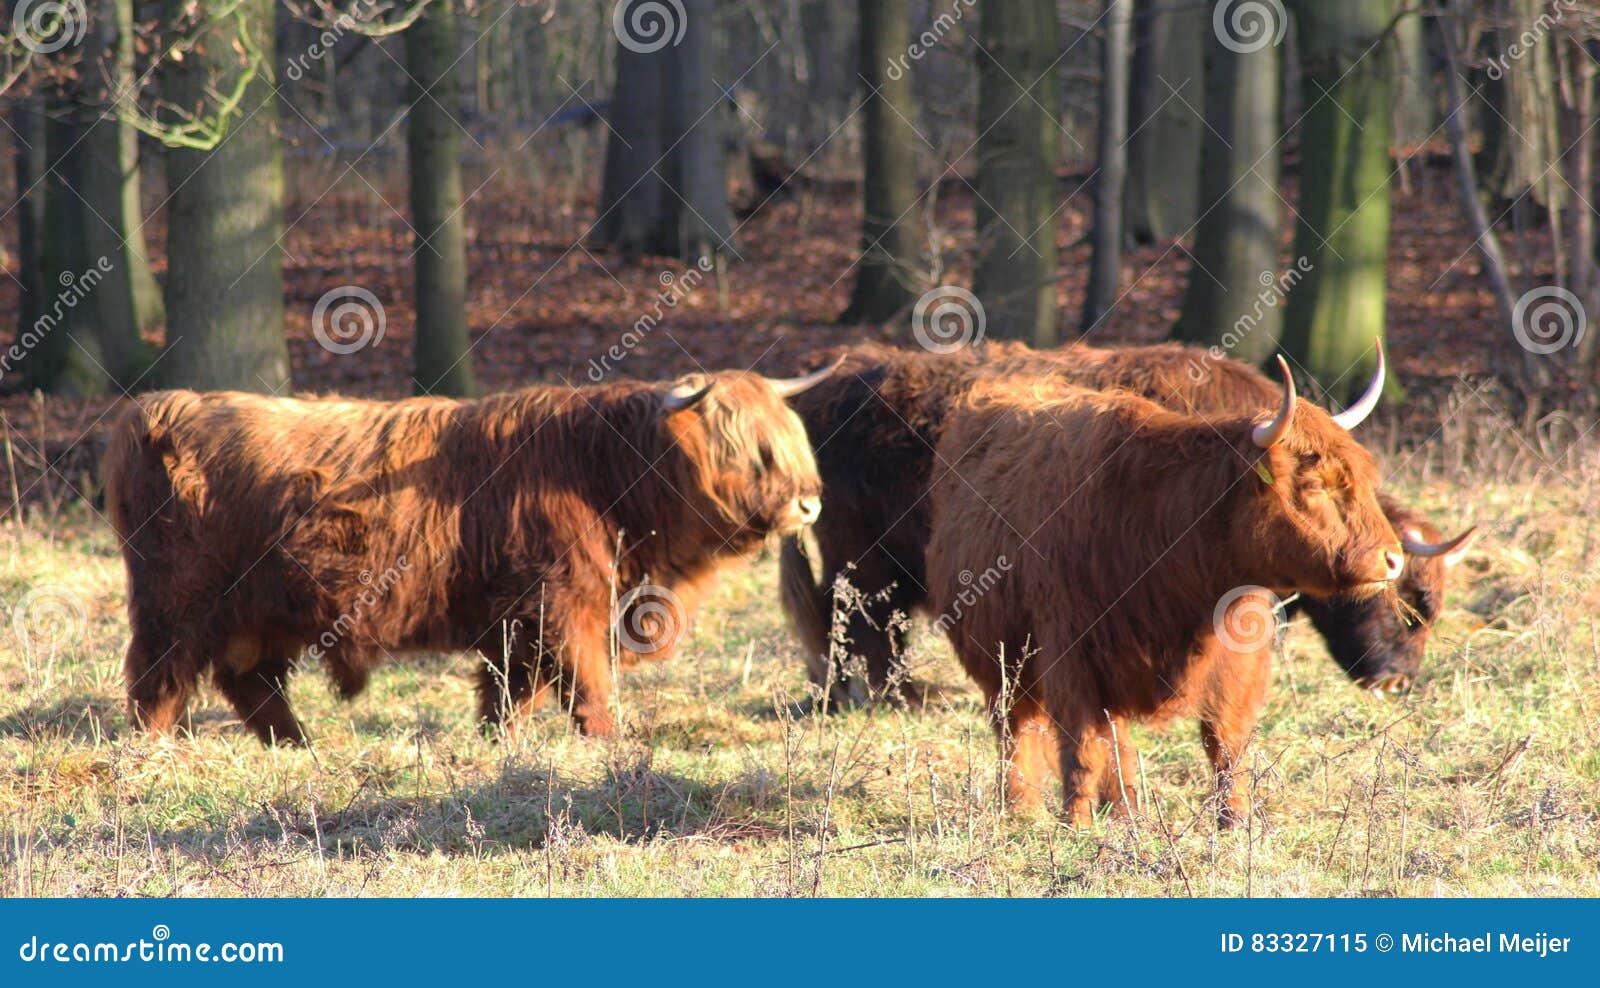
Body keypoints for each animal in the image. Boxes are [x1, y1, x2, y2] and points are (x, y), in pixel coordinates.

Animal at [103, 367, 834, 745]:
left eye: (791, 439)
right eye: (749, 450)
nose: (808, 503)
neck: (600, 470)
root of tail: (163, 407)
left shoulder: (520, 618)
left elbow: (513, 690)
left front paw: (496, 742)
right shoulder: (567, 599)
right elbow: (586, 679)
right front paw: (608, 742)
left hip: (263, 611)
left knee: (247, 680)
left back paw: (297, 743)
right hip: (180, 602)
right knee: (159, 677)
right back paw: (155, 745)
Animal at [779, 341, 1474, 708]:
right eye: (1408, 603)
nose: (1397, 680)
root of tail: (833, 385)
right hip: (862, 561)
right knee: (854, 622)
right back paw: (873, 698)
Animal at [924, 362, 1411, 825]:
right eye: (1313, 484)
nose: (1392, 559)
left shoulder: (1237, 659)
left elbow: (1225, 741)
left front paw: (1235, 820)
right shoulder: (1069, 652)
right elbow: (1079, 748)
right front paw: (1076, 822)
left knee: (1111, 736)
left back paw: (1124, 809)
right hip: (998, 658)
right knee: (1018, 727)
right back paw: (1022, 808)